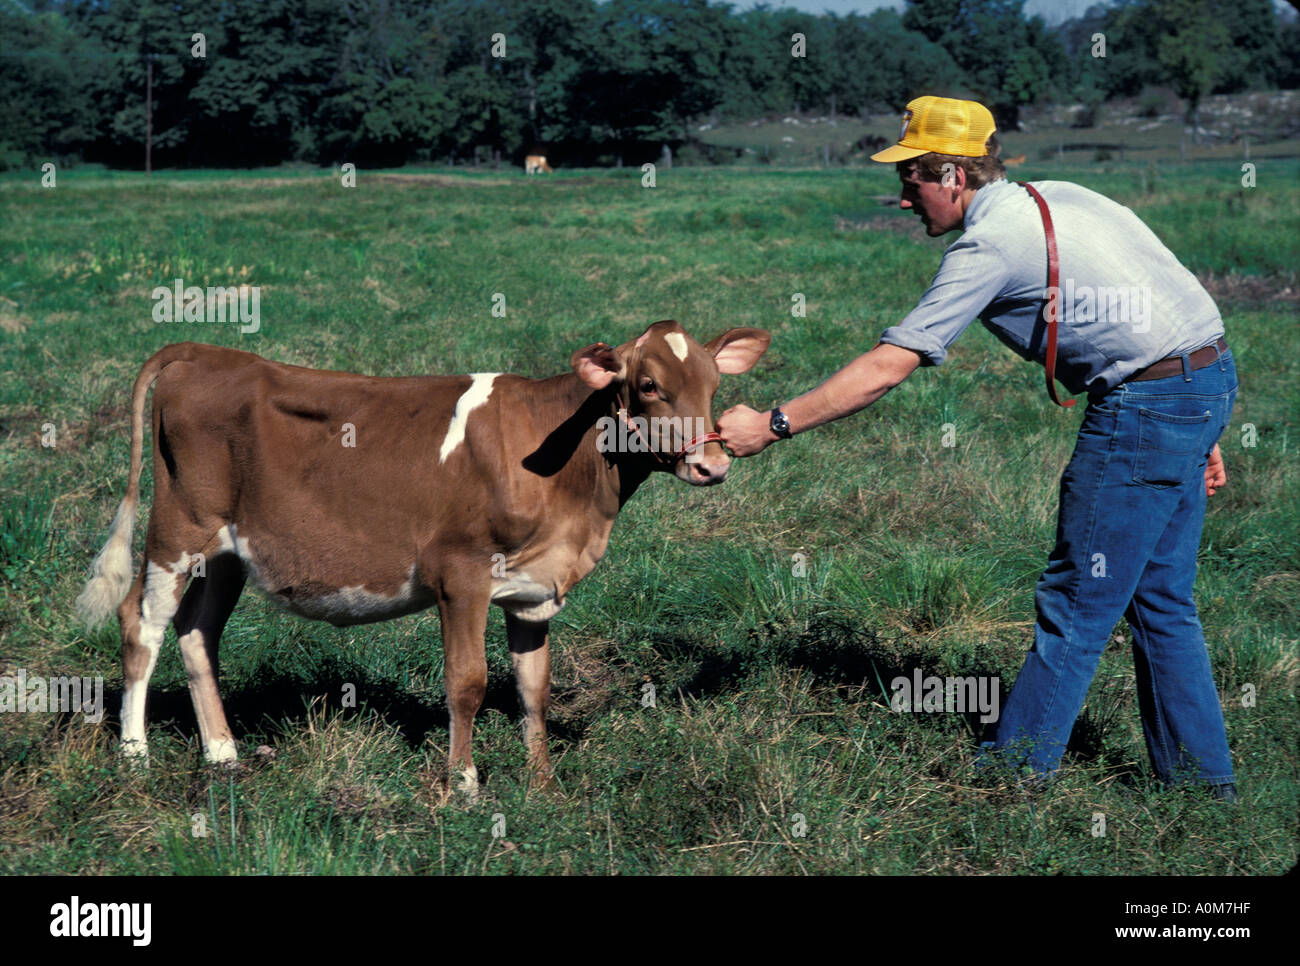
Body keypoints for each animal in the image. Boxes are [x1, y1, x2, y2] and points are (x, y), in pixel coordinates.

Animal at [75, 321, 770, 795]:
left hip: (225, 552)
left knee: (197, 632)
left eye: (714, 384)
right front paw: (464, 784)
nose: (713, 465)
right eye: (649, 385)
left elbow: (533, 687)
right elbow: (467, 683)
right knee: (142, 624)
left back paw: (222, 753)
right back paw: (134, 755)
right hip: (178, 527)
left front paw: (542, 782)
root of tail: (205, 353)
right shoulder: (460, 576)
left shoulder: (534, 590)